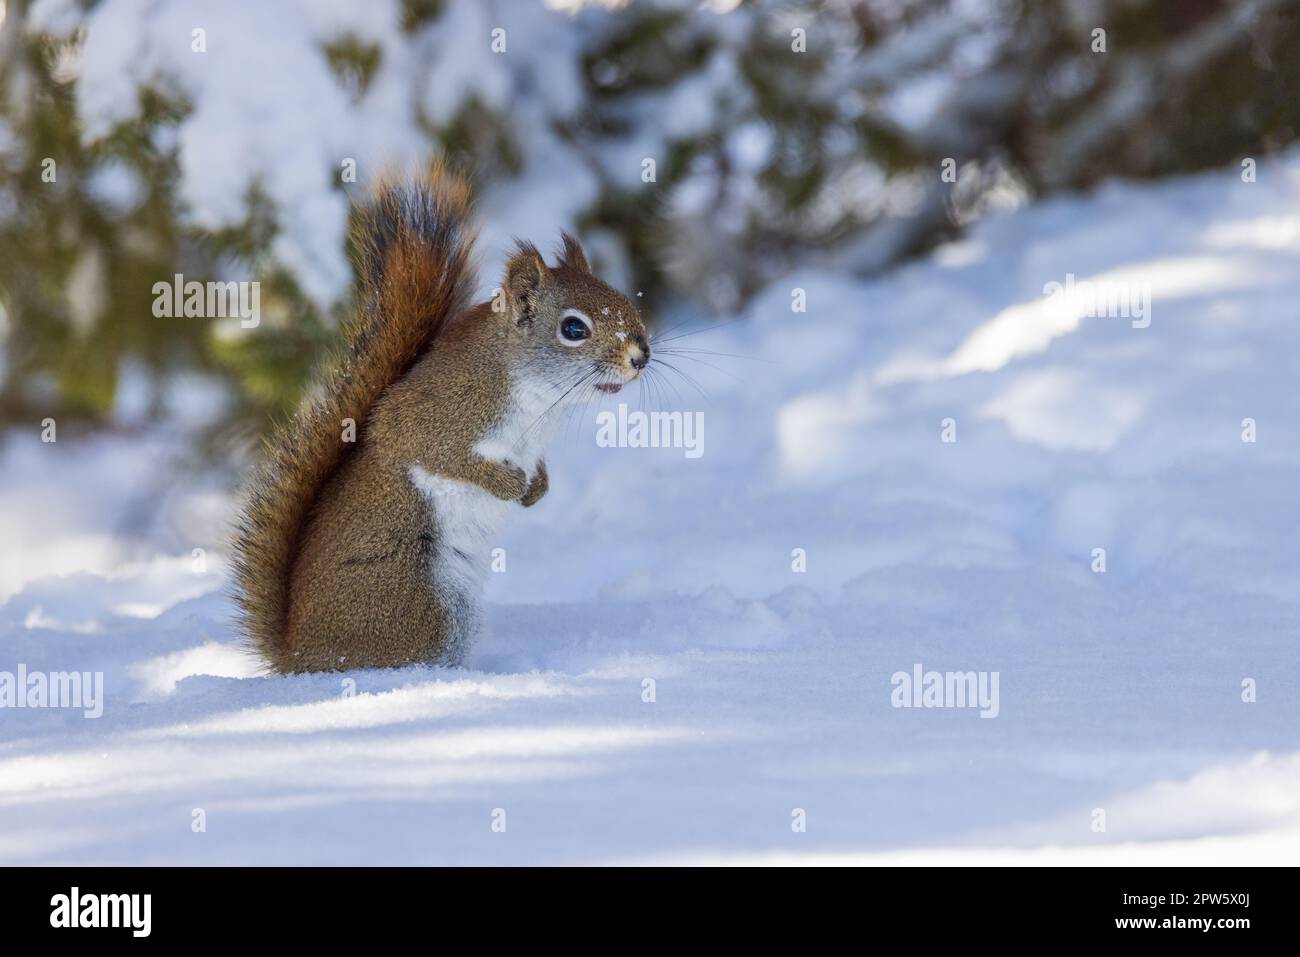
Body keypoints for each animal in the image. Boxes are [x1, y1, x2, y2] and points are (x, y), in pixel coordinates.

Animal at [232, 164, 649, 673]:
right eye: (574, 328)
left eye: (622, 297)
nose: (641, 356)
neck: (538, 400)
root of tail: (298, 655)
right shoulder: (439, 411)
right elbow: (426, 449)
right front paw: (506, 484)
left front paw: (537, 488)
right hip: (422, 607)